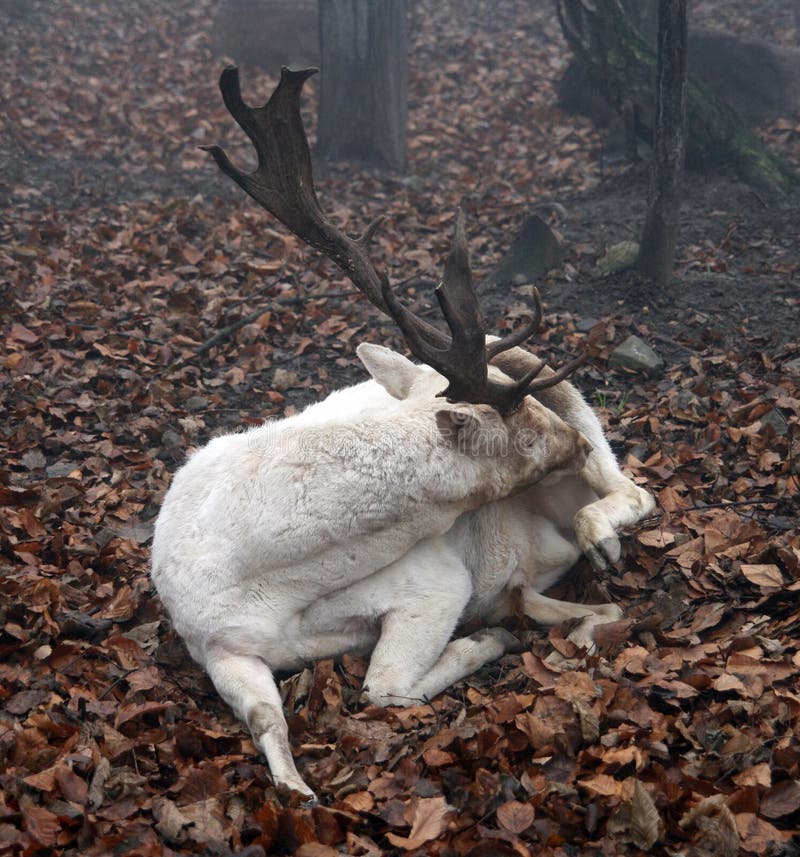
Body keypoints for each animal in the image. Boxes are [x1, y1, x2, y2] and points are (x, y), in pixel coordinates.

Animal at [151, 67, 655, 802]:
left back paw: (590, 556)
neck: (269, 578)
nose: (571, 445)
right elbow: (271, 720)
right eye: (525, 435)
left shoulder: (434, 584)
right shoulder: (218, 647)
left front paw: (489, 641)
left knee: (636, 489)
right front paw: (301, 792)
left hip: (548, 378)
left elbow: (384, 687)